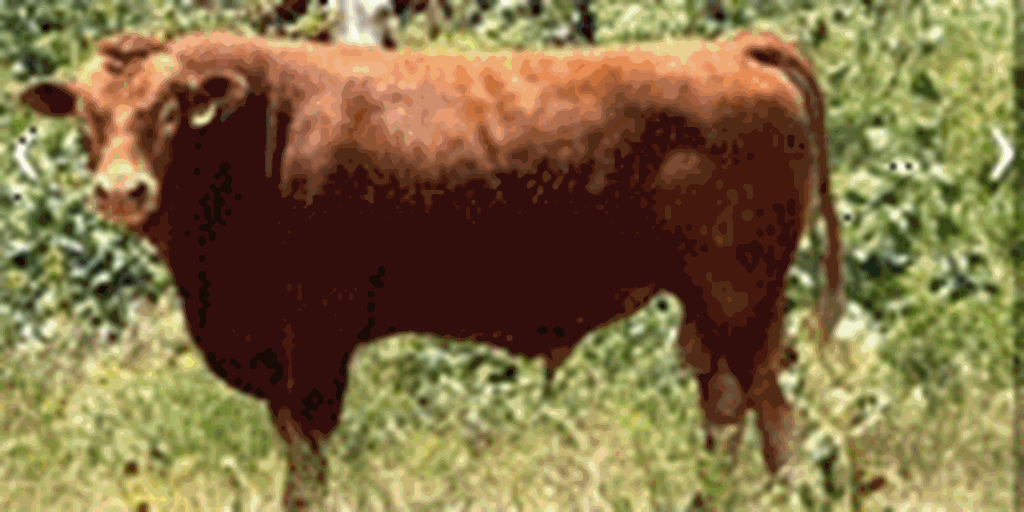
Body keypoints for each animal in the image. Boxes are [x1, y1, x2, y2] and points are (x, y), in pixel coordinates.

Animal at [20, 29, 844, 507]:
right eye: (86, 113)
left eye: (169, 108)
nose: (122, 190)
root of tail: (730, 47)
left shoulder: (316, 334)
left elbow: (308, 459)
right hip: (720, 301)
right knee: (727, 405)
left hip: (737, 292)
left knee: (769, 413)